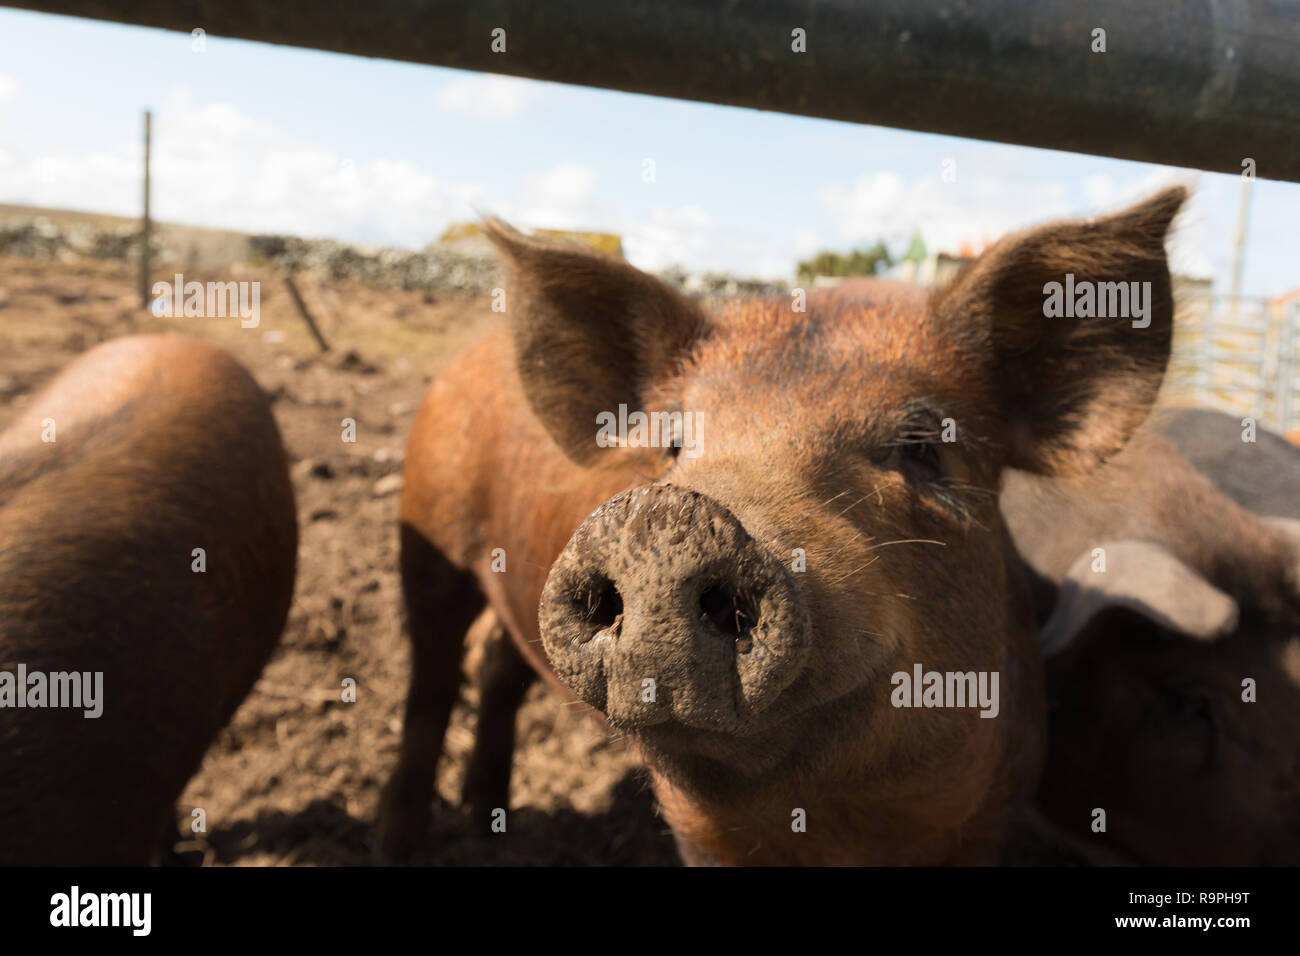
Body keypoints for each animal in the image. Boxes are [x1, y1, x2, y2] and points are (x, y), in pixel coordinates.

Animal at [378, 188, 1188, 865]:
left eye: (922, 447)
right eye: (673, 446)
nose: (667, 516)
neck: (845, 827)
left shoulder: (997, 811)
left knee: (497, 663)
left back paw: (485, 820)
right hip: (427, 528)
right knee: (432, 681)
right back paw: (405, 844)